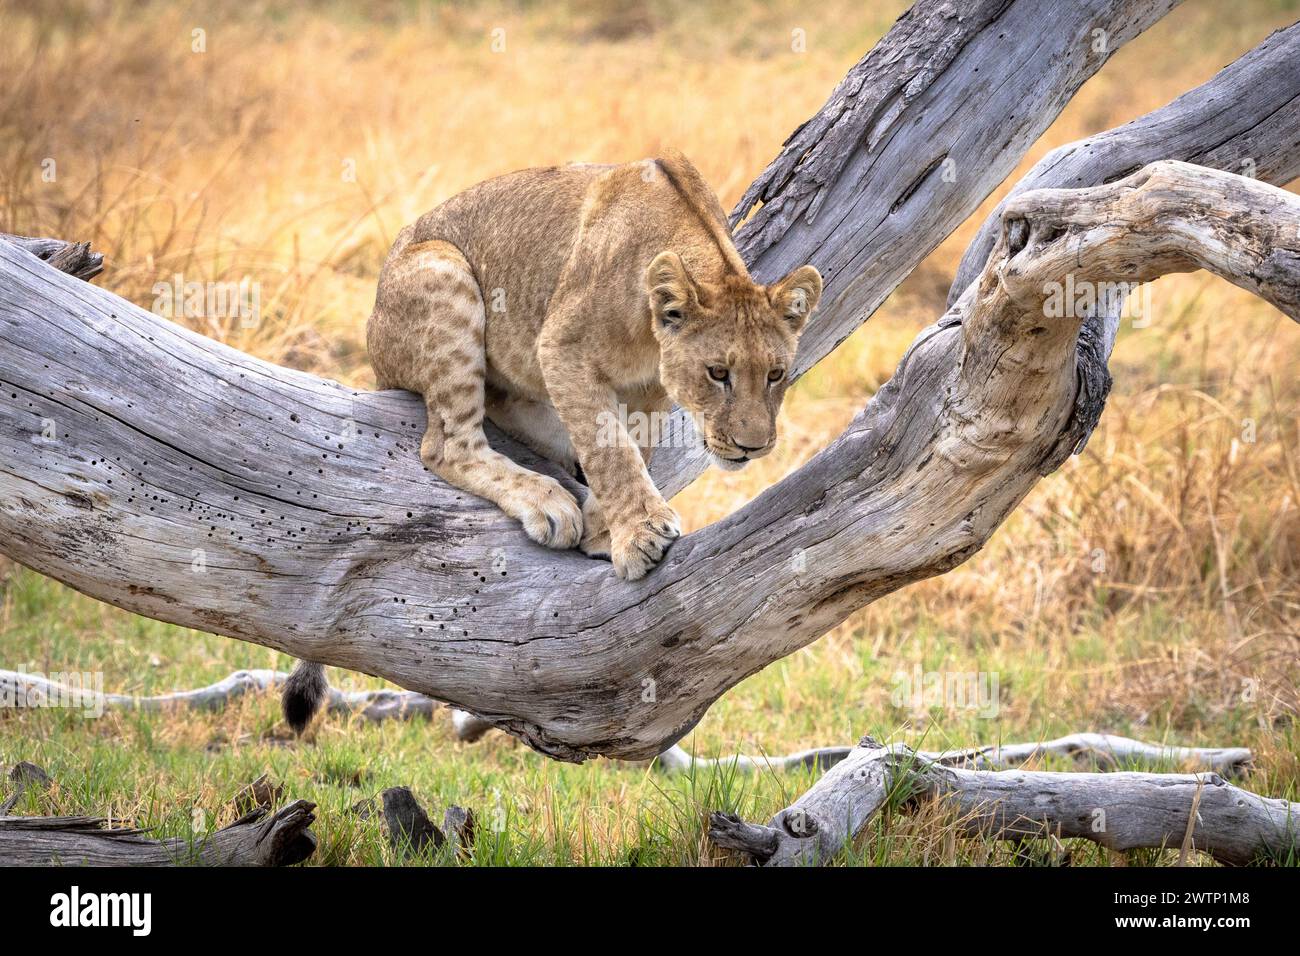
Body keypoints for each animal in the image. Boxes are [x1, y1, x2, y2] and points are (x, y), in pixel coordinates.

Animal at [283, 149, 821, 732]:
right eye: (718, 373)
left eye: (775, 374)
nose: (753, 445)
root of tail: (374, 339)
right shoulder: (561, 348)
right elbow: (609, 448)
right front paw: (641, 537)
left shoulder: (648, 386)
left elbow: (630, 449)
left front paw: (607, 531)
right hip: (445, 274)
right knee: (447, 444)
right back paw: (547, 501)